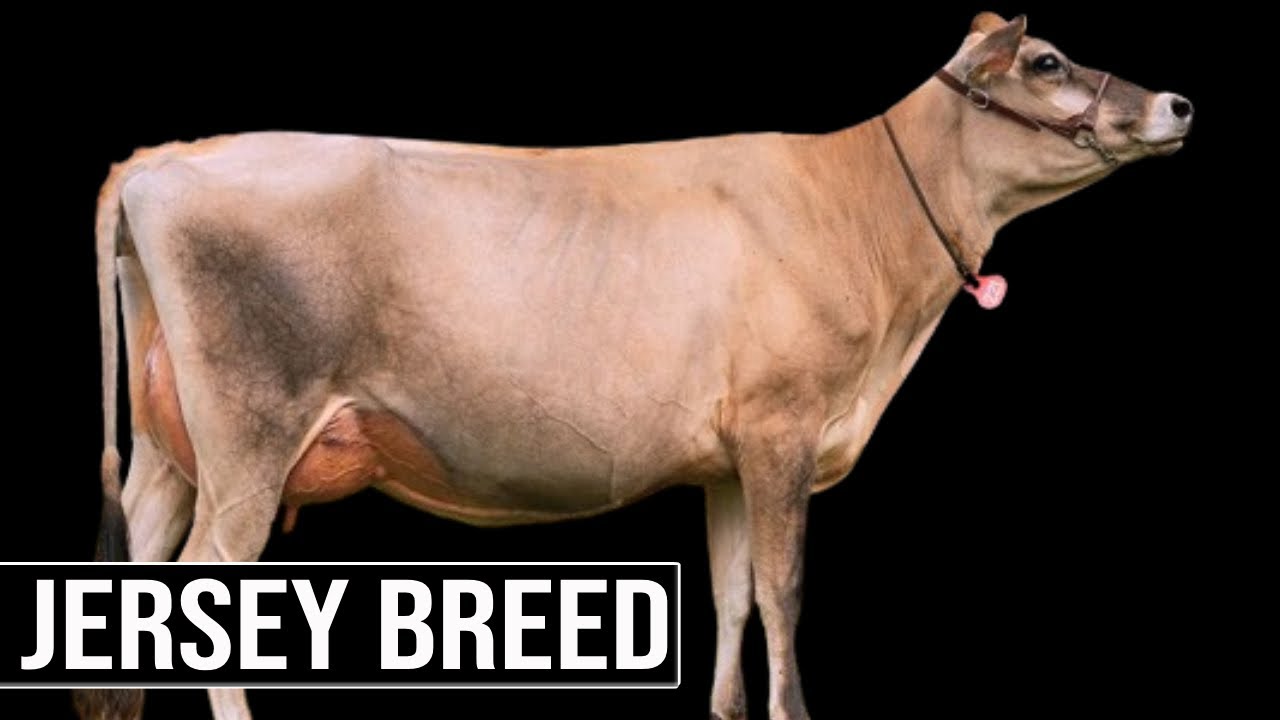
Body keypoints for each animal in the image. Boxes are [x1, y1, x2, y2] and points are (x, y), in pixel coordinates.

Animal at [78, 12, 1190, 720]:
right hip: (250, 430)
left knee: (139, 562)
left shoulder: (730, 458)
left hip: (174, 444)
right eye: (1045, 61)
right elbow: (782, 595)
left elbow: (733, 596)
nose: (1176, 103)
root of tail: (167, 156)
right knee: (208, 576)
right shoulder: (783, 430)